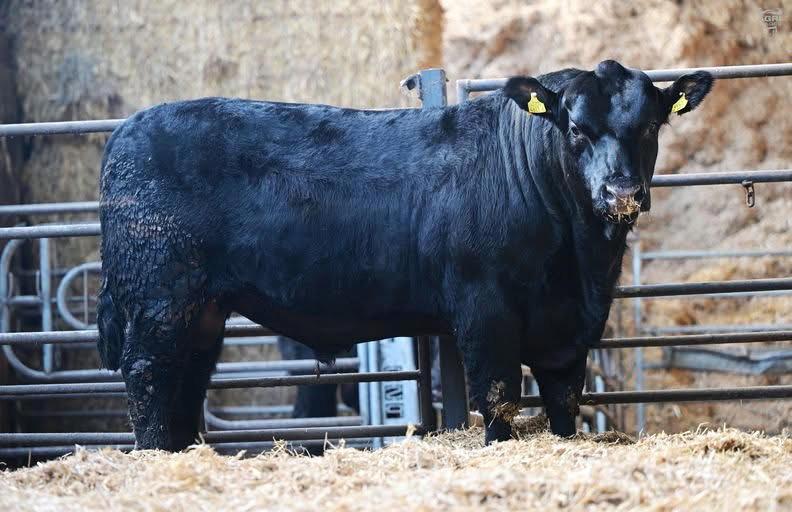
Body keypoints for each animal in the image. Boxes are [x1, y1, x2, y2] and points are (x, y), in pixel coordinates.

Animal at [97, 60, 712, 450]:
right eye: (578, 128)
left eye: (652, 124)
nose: (621, 191)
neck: (578, 262)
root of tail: (127, 130)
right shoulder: (484, 308)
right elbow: (498, 395)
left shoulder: (569, 324)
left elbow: (564, 397)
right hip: (159, 298)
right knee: (149, 374)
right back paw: (157, 456)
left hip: (201, 310)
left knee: (187, 380)